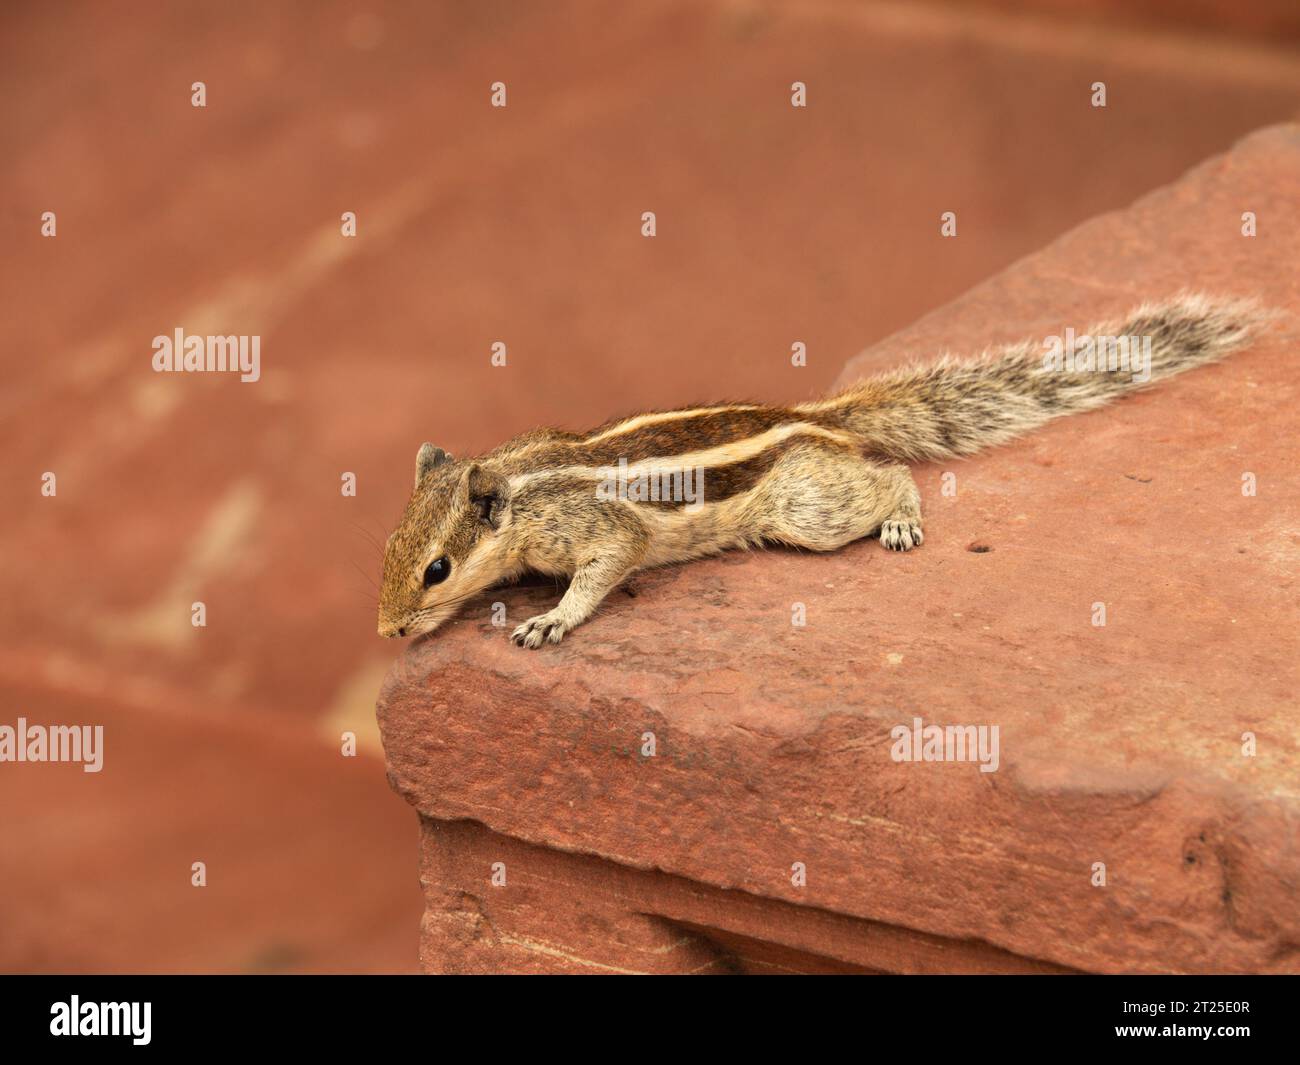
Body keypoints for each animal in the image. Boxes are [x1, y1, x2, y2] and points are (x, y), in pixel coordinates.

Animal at [378, 294, 1266, 648]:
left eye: (436, 569)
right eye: (387, 549)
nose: (387, 631)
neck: (521, 478)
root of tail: (816, 418)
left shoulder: (602, 528)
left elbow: (607, 565)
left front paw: (553, 618)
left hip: (807, 509)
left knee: (890, 477)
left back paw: (903, 518)